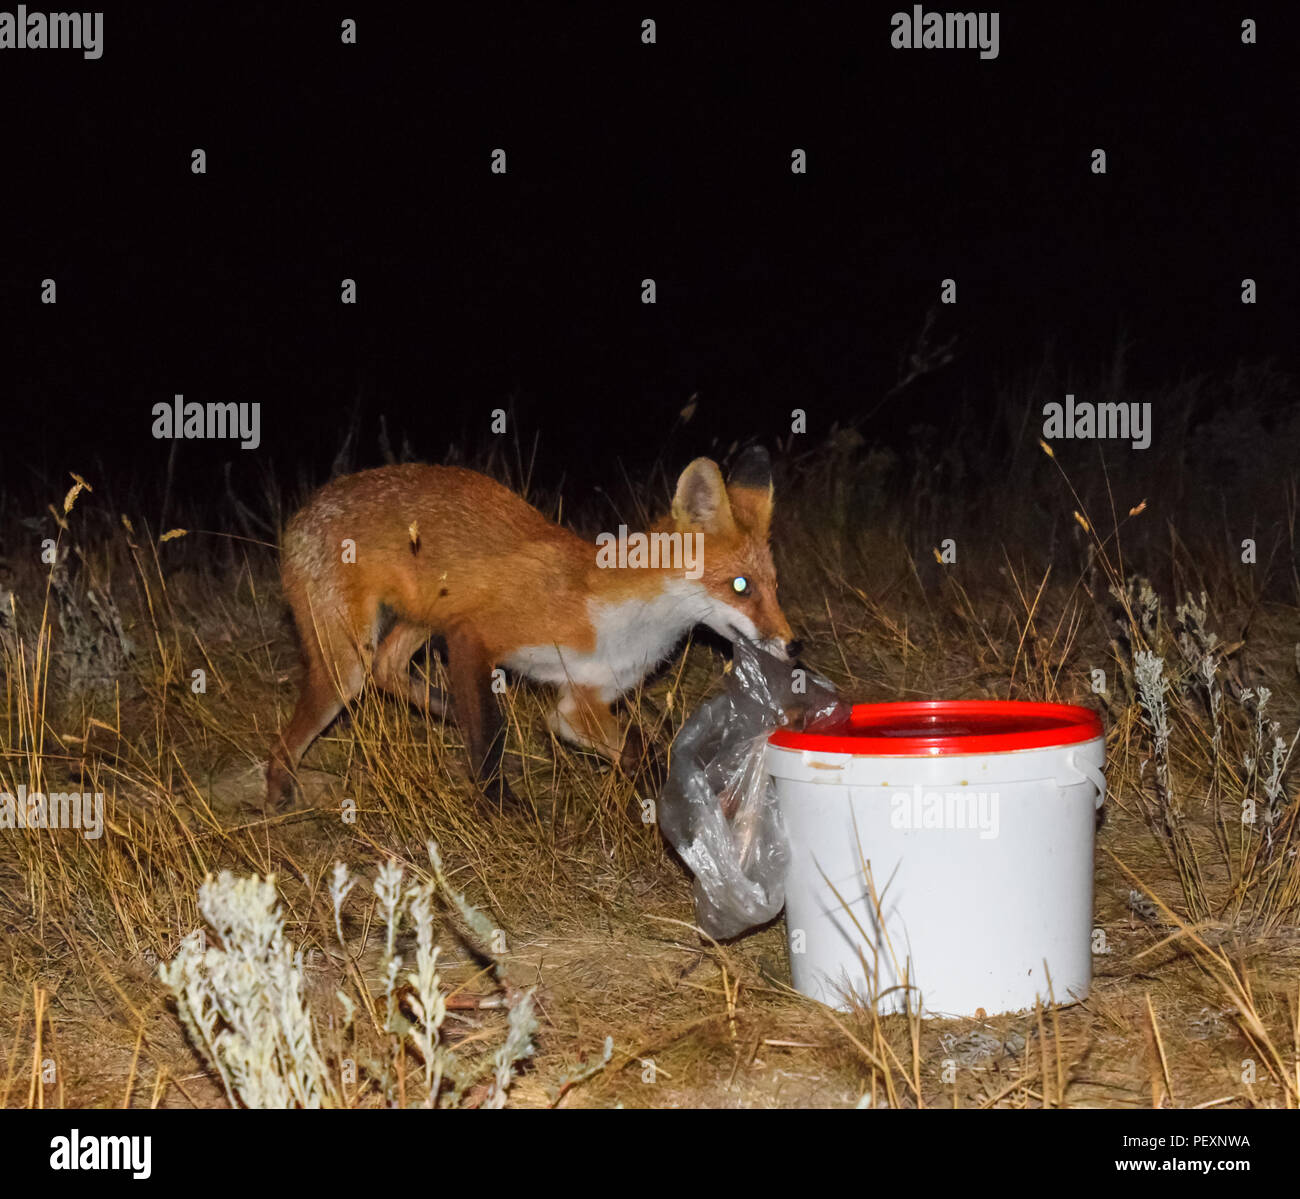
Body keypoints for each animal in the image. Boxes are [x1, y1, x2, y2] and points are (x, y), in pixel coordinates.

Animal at [266, 446, 795, 808]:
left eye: (774, 585)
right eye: (741, 586)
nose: (794, 646)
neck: (622, 620)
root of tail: (304, 511)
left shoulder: (579, 705)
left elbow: (642, 752)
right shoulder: (475, 635)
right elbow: (489, 734)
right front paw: (501, 808)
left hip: (424, 618)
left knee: (388, 667)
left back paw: (445, 708)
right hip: (347, 662)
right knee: (295, 732)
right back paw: (278, 796)